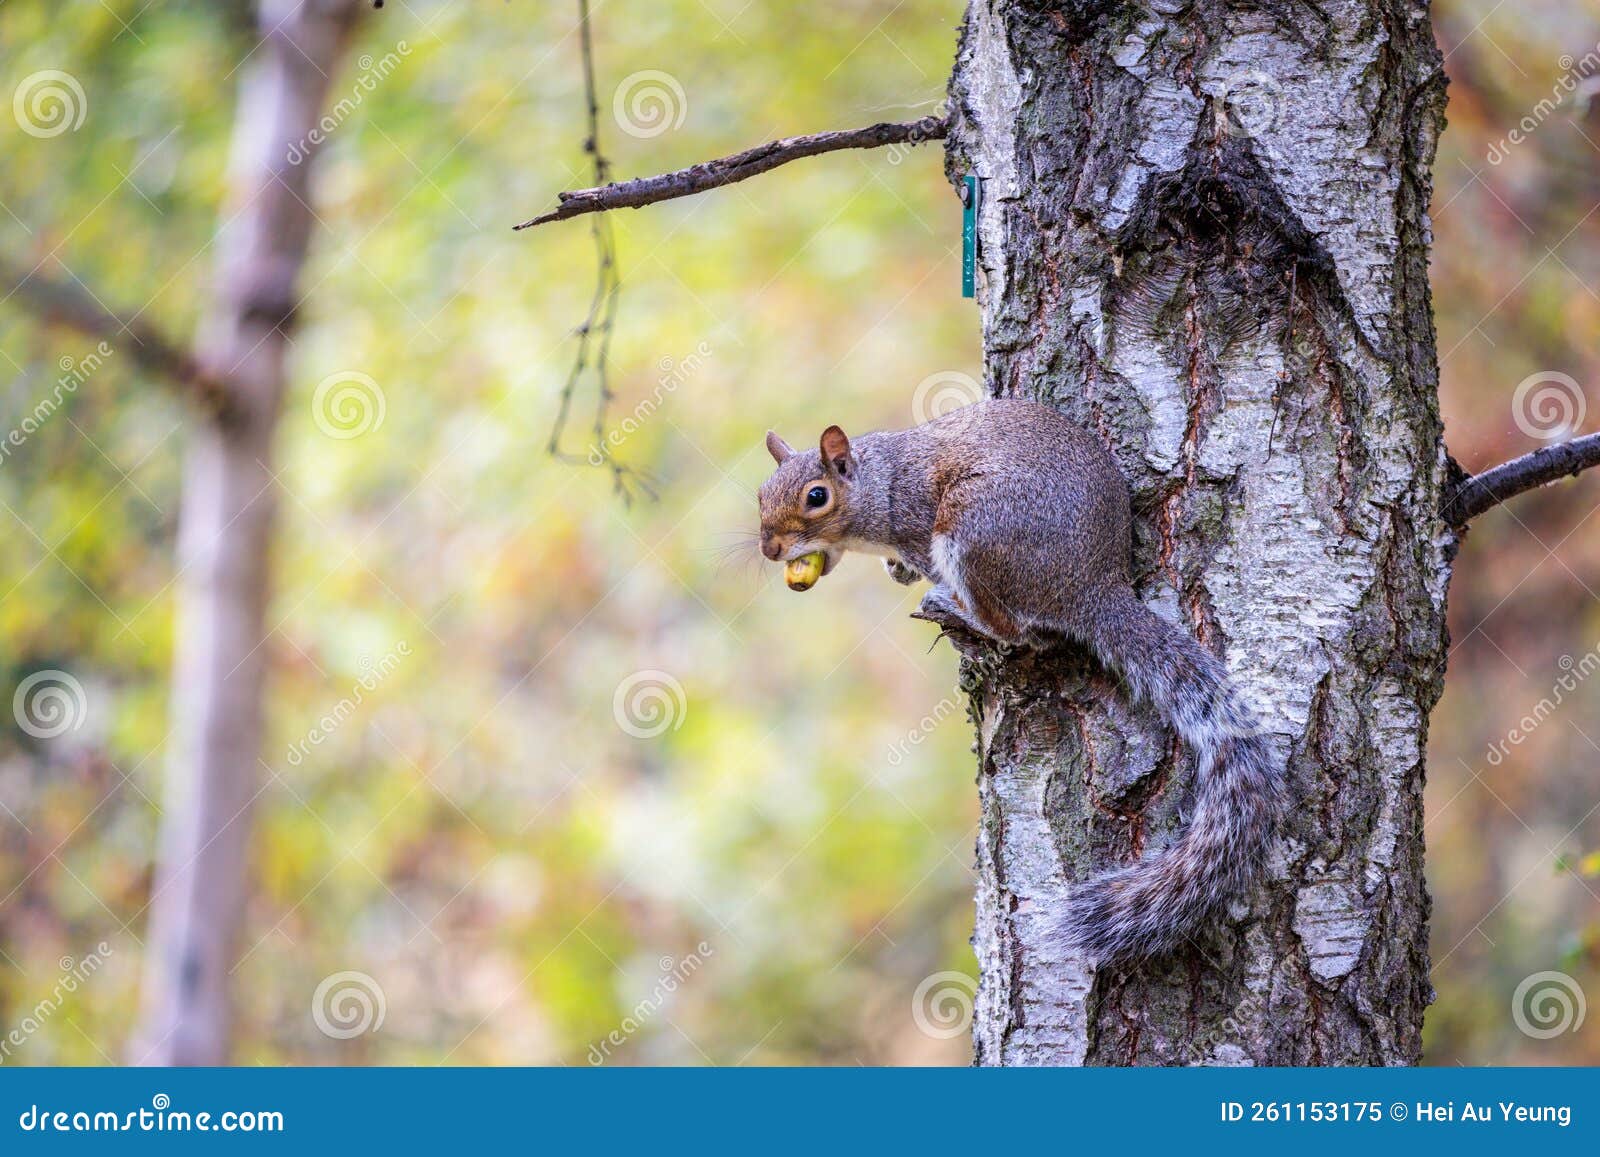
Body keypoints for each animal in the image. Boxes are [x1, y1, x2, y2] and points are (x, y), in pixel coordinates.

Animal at [757, 397, 1285, 963]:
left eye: (817, 497)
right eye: (761, 494)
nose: (770, 549)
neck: (880, 484)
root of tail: (1091, 587)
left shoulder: (918, 522)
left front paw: (918, 580)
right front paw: (894, 571)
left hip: (974, 530)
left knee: (1015, 628)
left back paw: (958, 609)